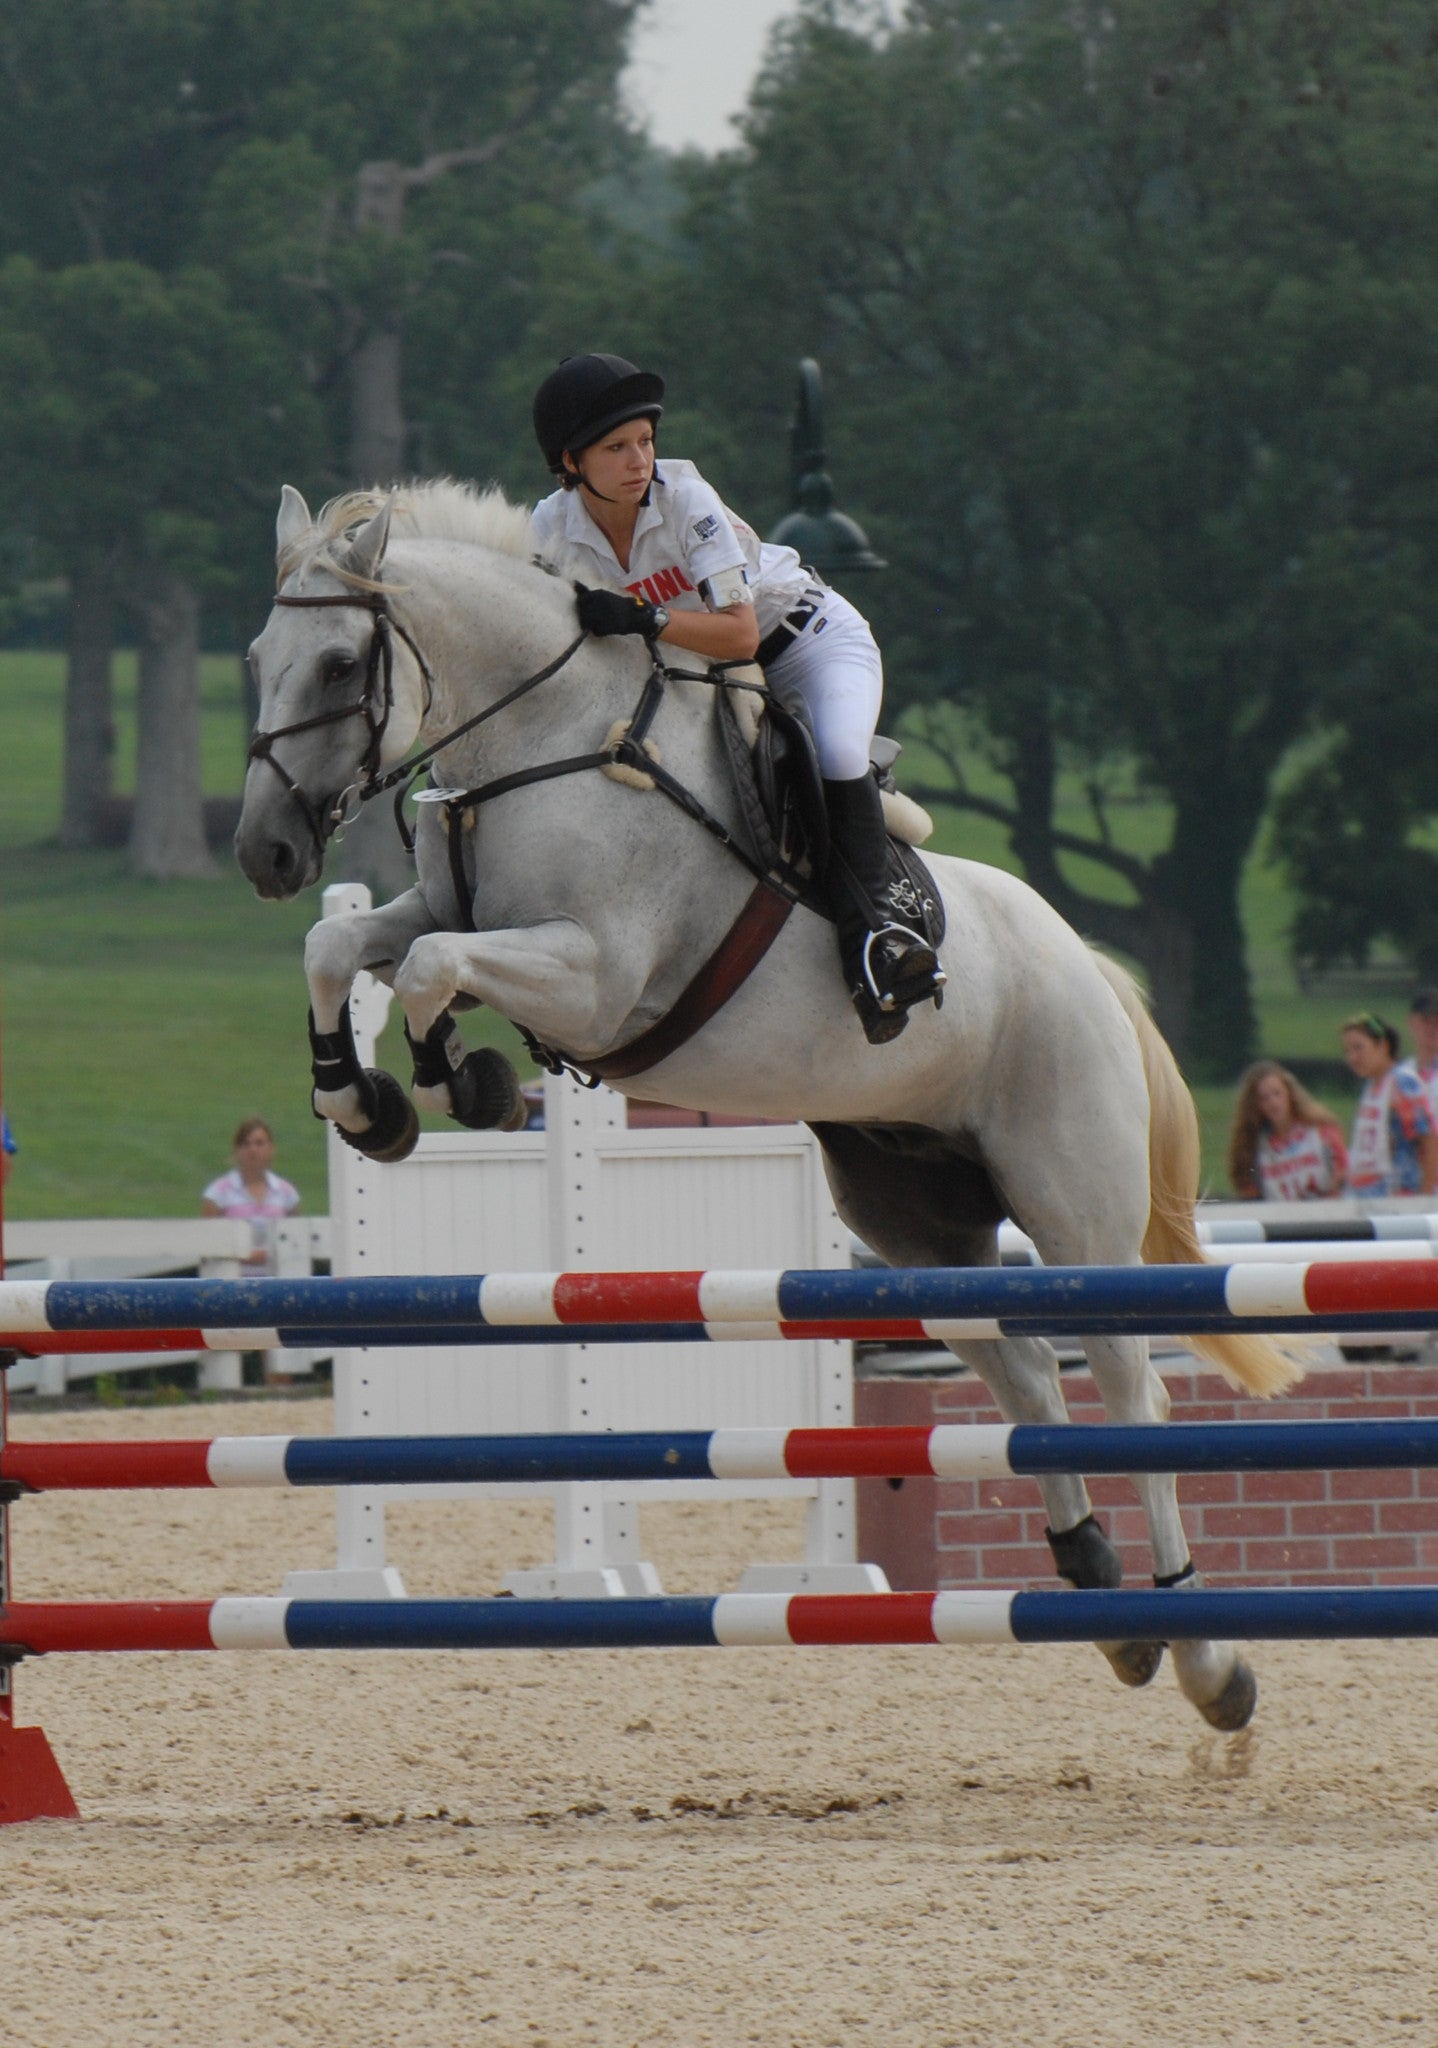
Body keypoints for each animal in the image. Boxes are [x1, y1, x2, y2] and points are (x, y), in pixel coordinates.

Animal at [237, 478, 1301, 1731]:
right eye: (258, 659)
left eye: (339, 665)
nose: (264, 851)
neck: (538, 748)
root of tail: (1087, 965)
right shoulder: (448, 915)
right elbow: (347, 946)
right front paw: (368, 1104)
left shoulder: (595, 977)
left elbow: (424, 967)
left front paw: (461, 1077)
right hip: (917, 1222)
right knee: (1025, 1366)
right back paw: (1094, 1582)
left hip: (1073, 1202)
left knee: (1132, 1385)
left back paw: (1202, 1654)